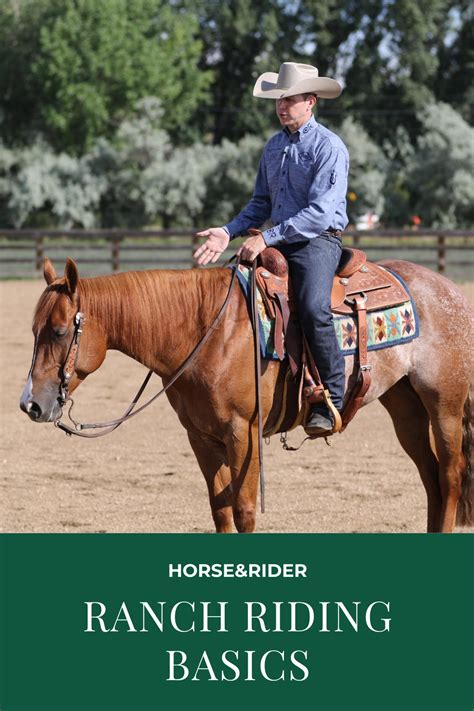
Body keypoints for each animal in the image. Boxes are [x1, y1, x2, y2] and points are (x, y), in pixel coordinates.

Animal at [20, 256, 473, 533]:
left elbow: (245, 509)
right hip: (404, 407)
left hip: (444, 404)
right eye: (34, 329)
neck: (208, 331)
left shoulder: (244, 432)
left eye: (59, 331)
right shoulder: (201, 437)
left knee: (450, 477)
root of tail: (449, 290)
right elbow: (220, 509)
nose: (31, 404)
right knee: (431, 478)